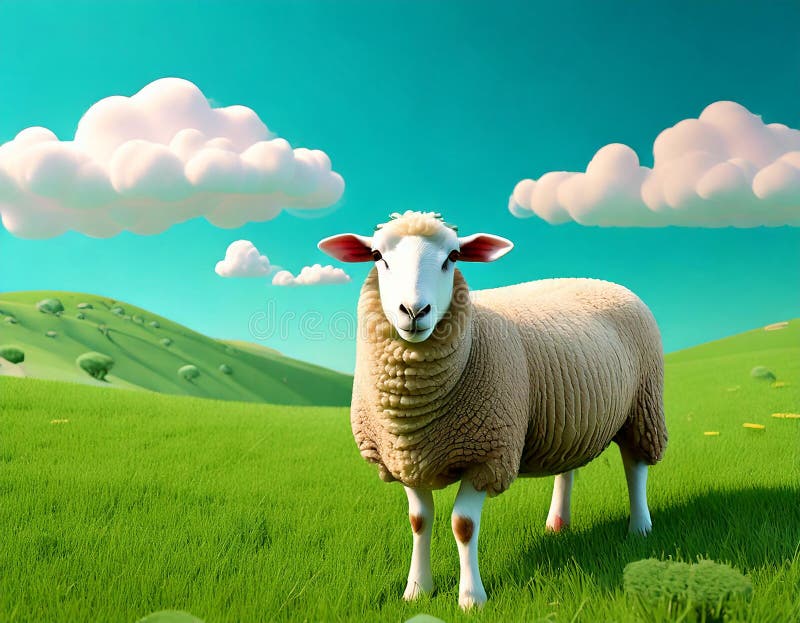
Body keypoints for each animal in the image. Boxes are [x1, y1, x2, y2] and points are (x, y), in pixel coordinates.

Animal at [319, 211, 667, 610]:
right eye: (377, 256)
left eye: (453, 257)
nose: (415, 311)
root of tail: (603, 281)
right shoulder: (402, 459)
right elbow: (419, 521)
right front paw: (417, 591)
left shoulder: (487, 455)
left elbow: (463, 525)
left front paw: (471, 598)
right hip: (572, 418)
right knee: (568, 469)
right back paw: (557, 524)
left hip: (643, 405)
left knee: (635, 466)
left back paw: (640, 528)